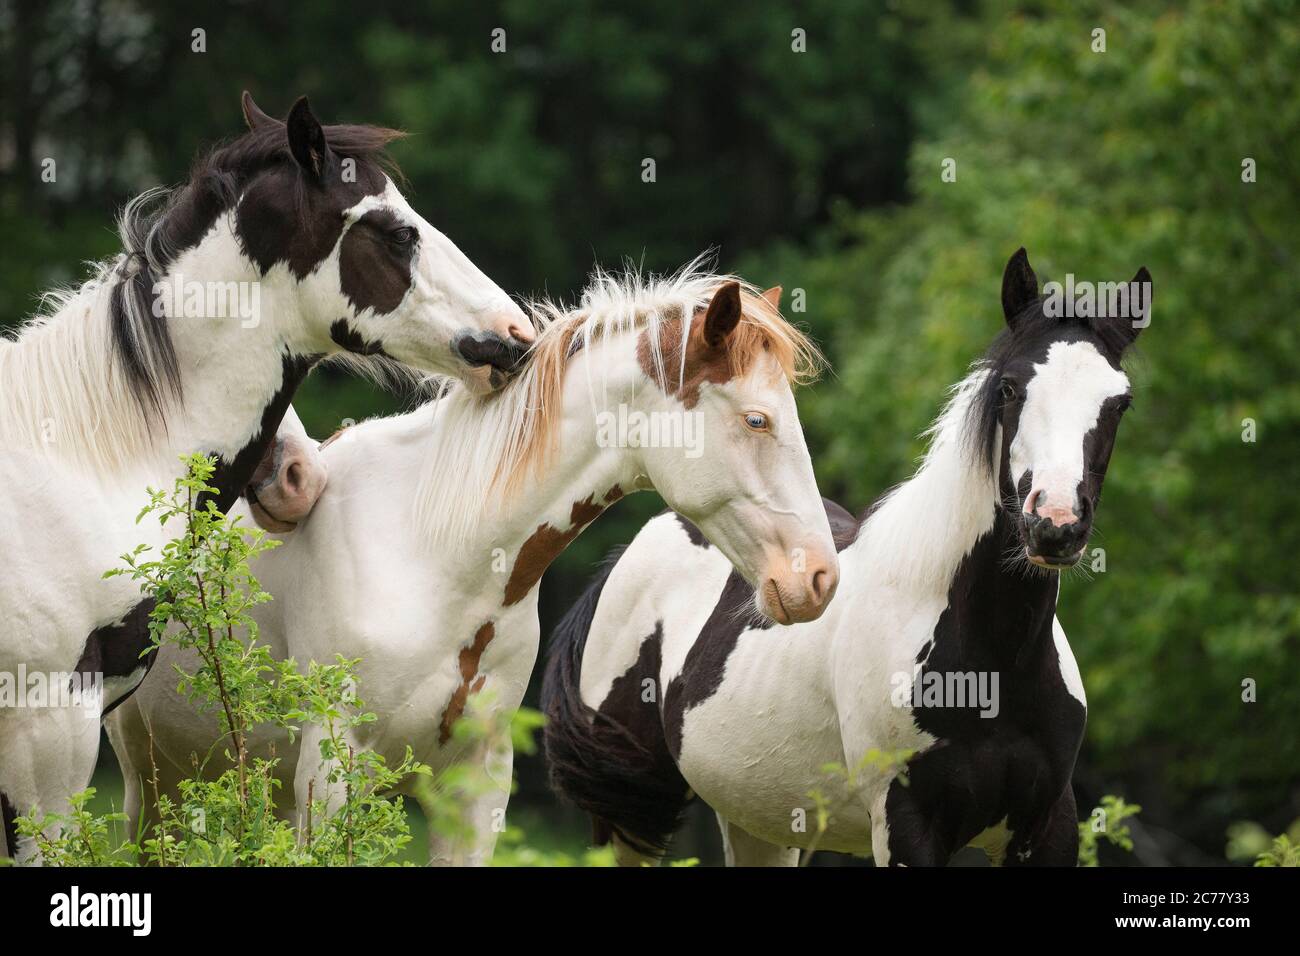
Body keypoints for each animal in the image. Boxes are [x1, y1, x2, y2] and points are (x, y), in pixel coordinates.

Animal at [108, 265, 841, 864]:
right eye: (756, 420)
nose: (817, 578)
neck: (432, 554)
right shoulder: (333, 767)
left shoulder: (474, 782)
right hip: (151, 779)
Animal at [542, 249, 1151, 866]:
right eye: (1009, 387)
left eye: (1120, 403)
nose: (1054, 524)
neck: (990, 662)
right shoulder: (906, 825)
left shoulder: (1048, 826)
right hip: (627, 817)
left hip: (759, 822)